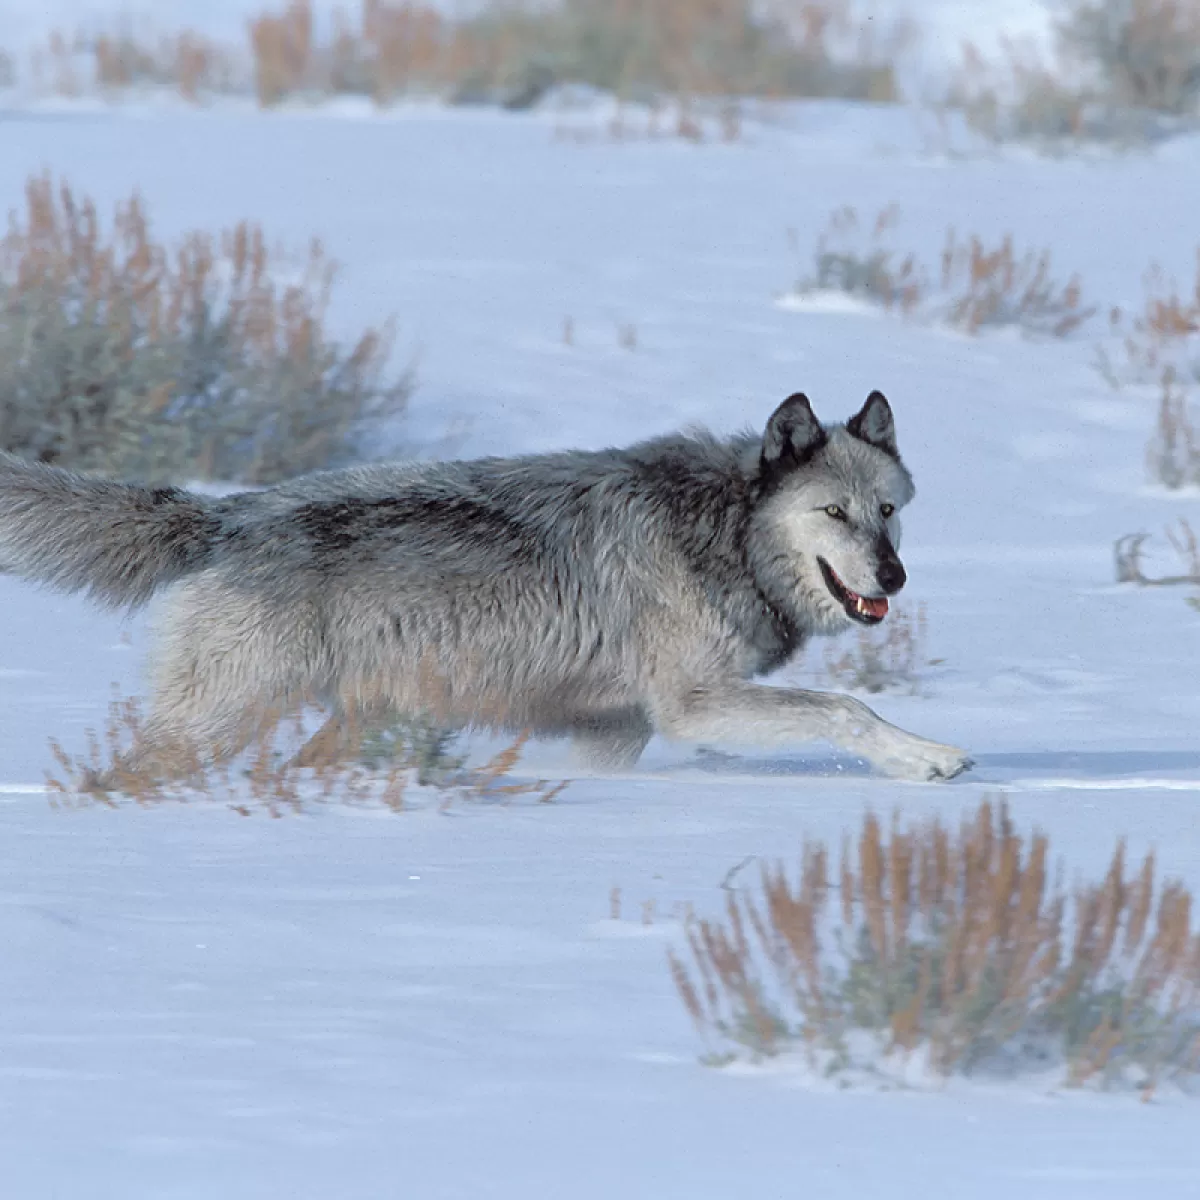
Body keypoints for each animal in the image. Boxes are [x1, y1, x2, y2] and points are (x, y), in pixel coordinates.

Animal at [0, 389, 971, 785]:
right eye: (833, 513)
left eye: (888, 511)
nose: (893, 575)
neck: (724, 530)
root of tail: (225, 513)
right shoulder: (692, 705)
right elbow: (846, 708)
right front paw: (927, 758)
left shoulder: (615, 732)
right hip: (225, 719)